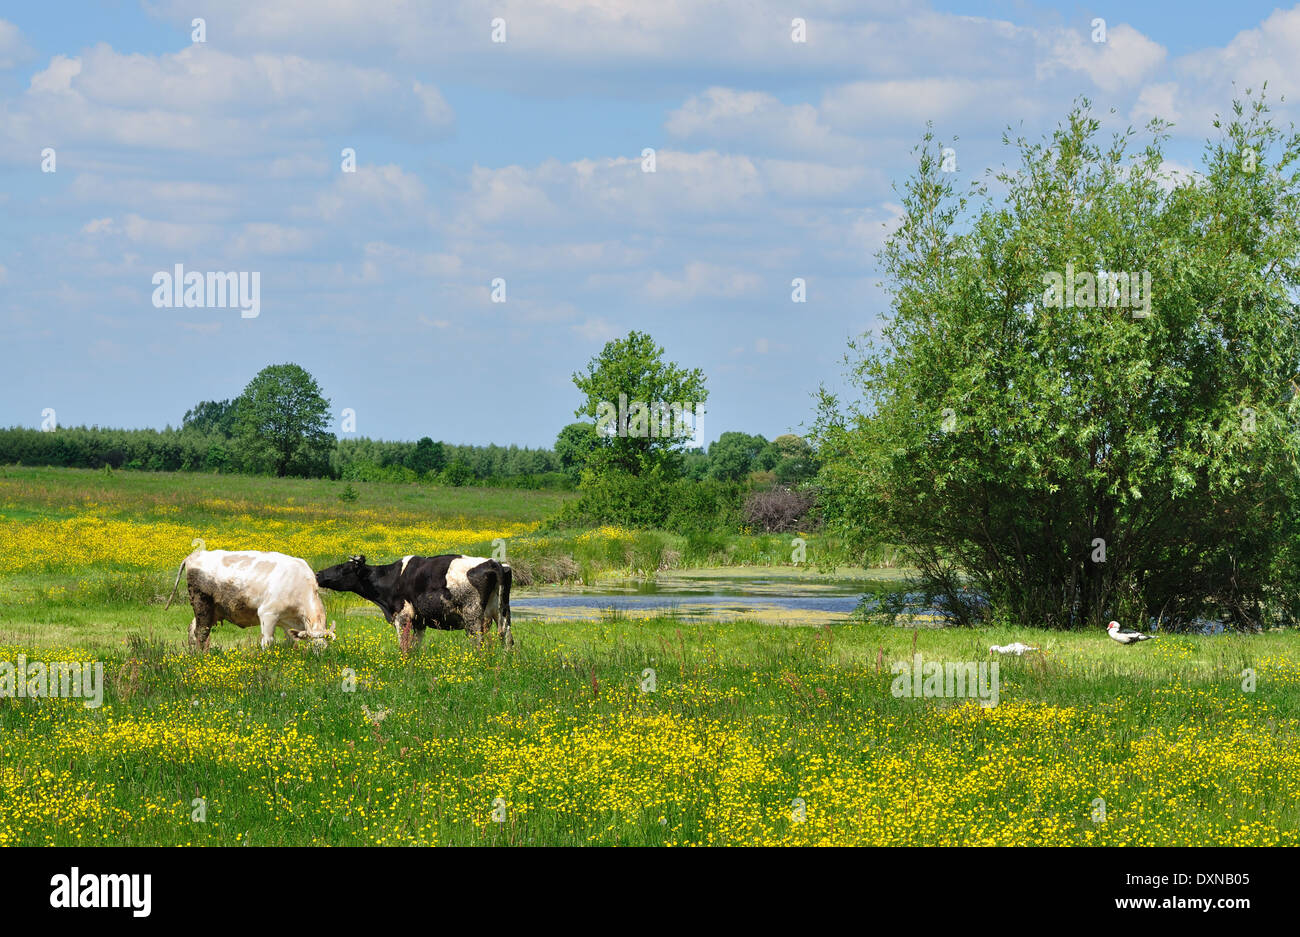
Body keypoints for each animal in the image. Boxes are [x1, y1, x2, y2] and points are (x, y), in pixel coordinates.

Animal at [165, 549, 336, 651]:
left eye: (326, 645)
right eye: (313, 644)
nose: (320, 656)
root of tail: (194, 555)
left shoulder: (288, 623)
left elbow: (291, 642)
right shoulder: (268, 614)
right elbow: (267, 641)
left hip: (210, 610)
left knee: (193, 628)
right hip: (201, 603)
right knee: (201, 632)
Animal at [314, 554, 513, 651]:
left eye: (343, 568)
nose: (318, 574)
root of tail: (494, 562)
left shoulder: (402, 615)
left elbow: (403, 645)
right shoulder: (419, 621)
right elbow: (415, 646)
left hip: (473, 617)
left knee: (478, 643)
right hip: (503, 612)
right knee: (507, 640)